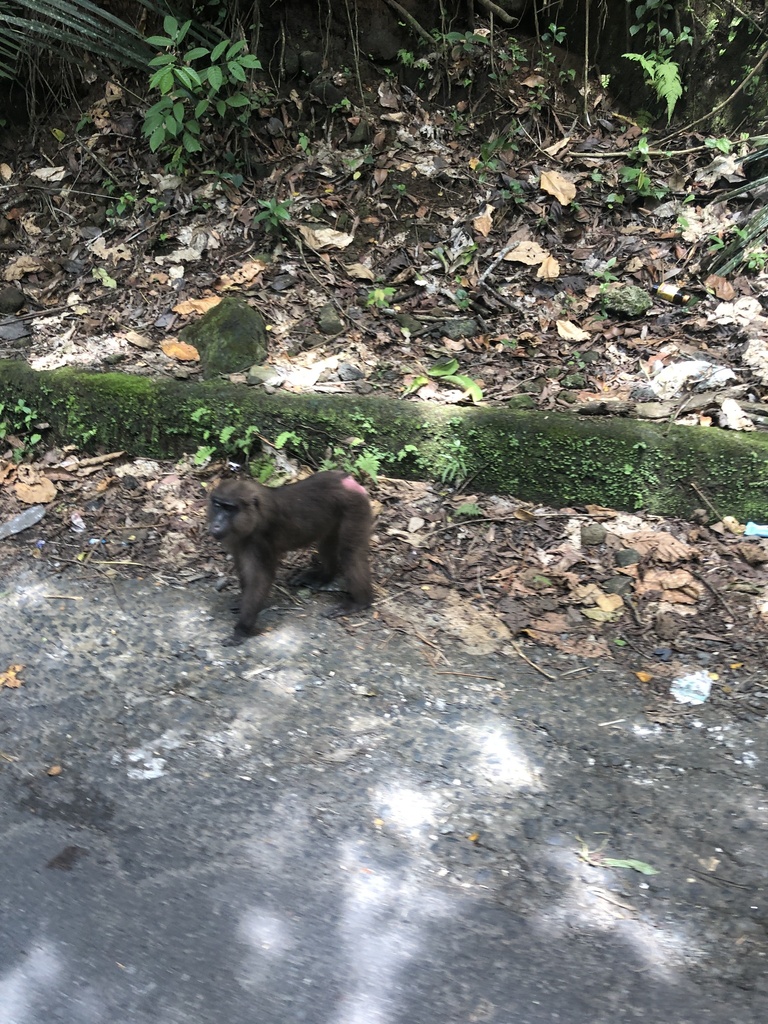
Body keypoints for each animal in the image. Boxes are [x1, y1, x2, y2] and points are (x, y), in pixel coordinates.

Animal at [207, 471, 373, 645]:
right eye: (218, 505)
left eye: (230, 509)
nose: (216, 524)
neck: (255, 514)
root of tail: (349, 482)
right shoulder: (239, 540)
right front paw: (242, 602)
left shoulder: (260, 539)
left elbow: (259, 579)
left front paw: (242, 629)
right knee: (328, 543)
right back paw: (324, 576)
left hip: (355, 508)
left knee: (351, 554)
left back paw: (360, 602)